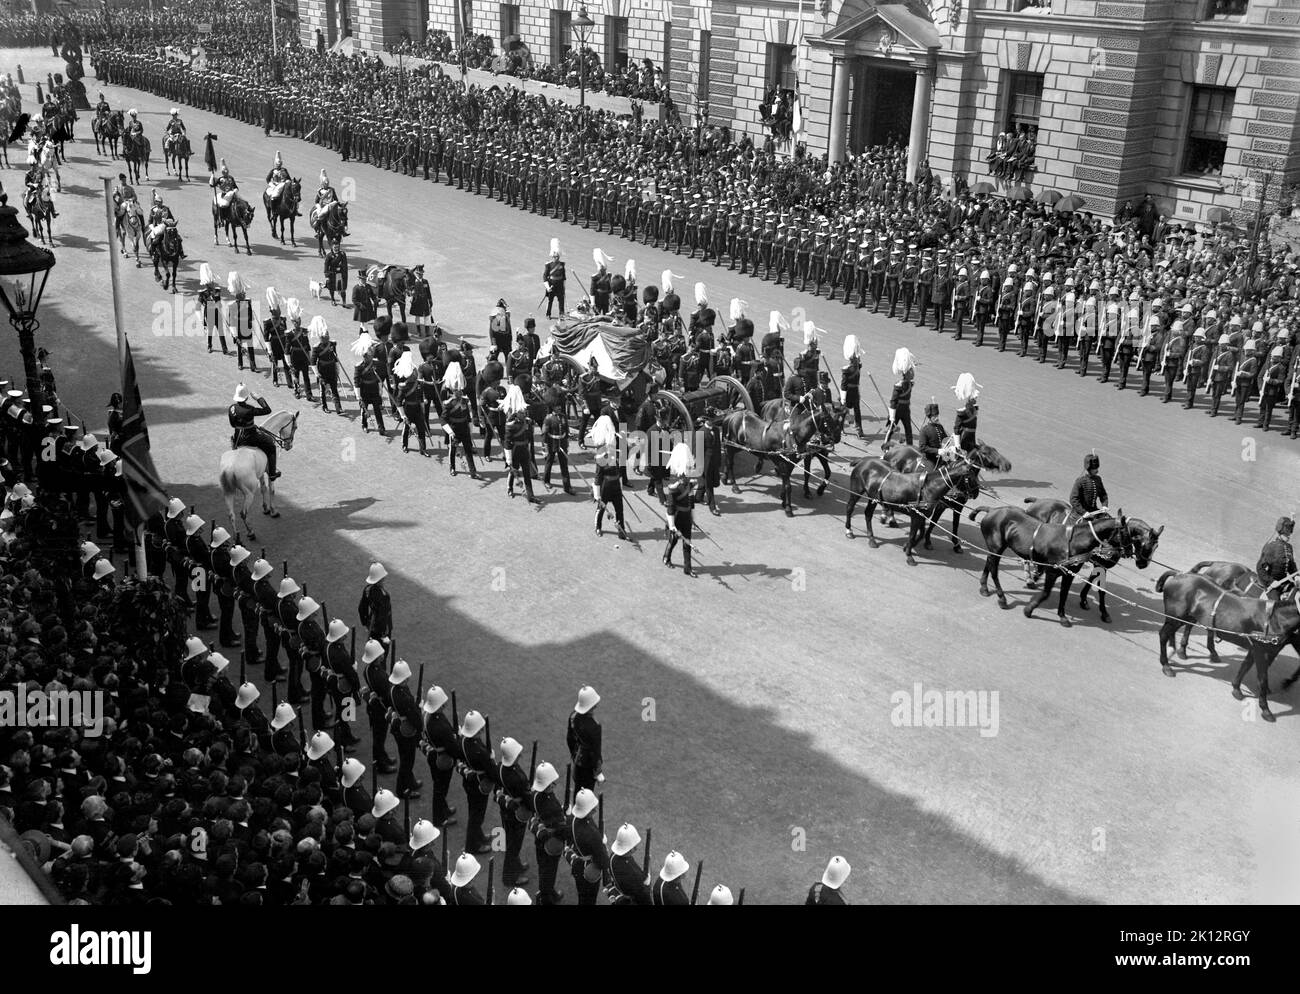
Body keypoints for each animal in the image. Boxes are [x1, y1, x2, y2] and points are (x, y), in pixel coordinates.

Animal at [218, 407, 299, 537]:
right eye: (295, 427)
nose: (289, 446)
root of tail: (229, 468)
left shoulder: (260, 472)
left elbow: (263, 488)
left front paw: (265, 508)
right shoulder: (269, 471)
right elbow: (271, 489)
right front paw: (273, 511)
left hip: (227, 492)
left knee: (231, 515)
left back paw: (237, 538)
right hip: (249, 493)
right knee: (243, 513)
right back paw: (250, 532)